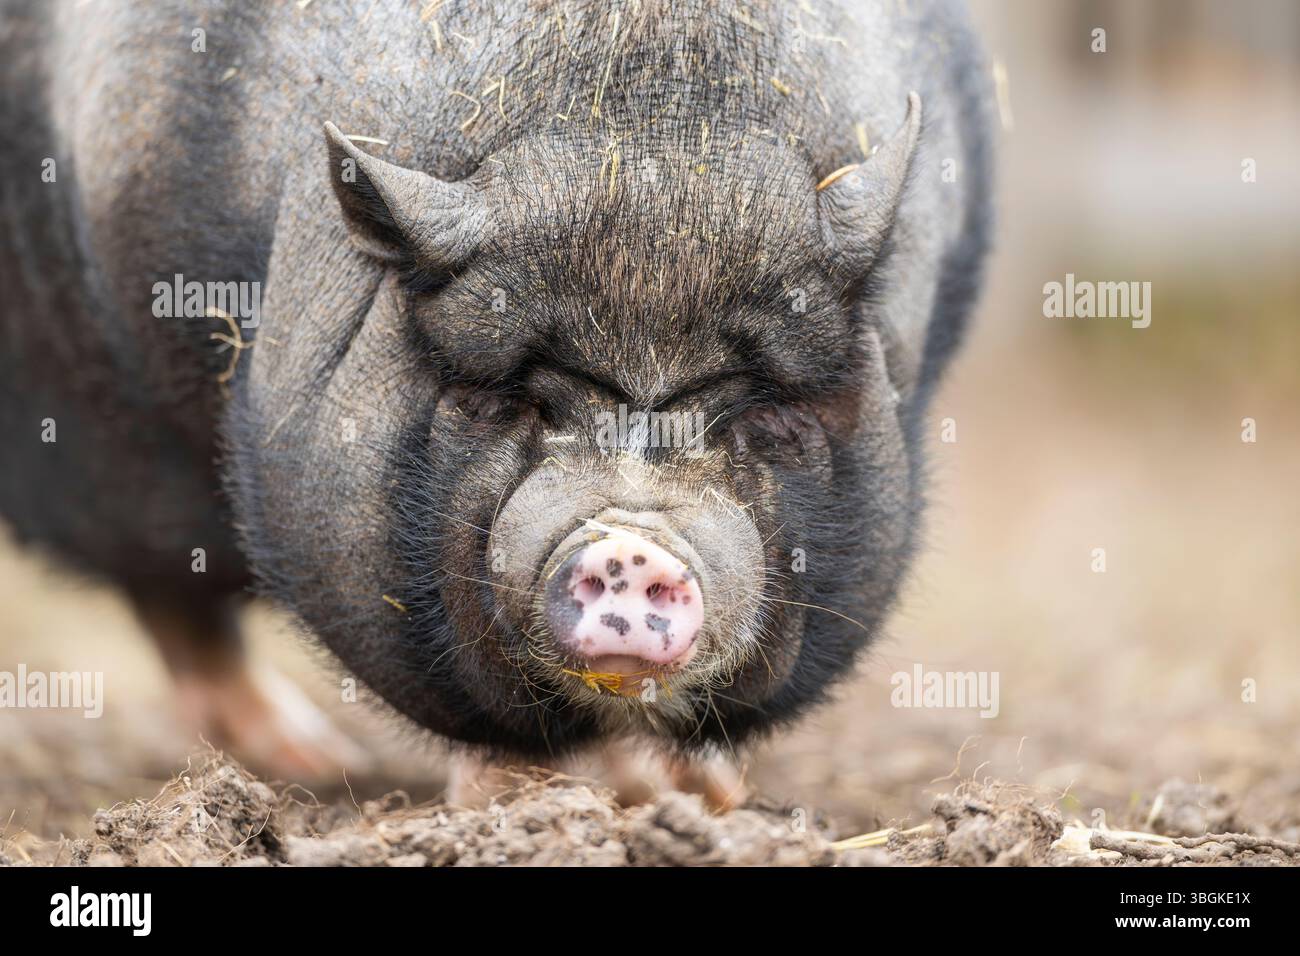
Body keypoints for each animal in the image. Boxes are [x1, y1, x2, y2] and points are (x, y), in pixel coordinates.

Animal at [0, 0, 992, 796]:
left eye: (757, 410)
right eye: (512, 397)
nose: (633, 541)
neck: (646, 127)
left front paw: (705, 802)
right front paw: (514, 802)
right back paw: (313, 763)